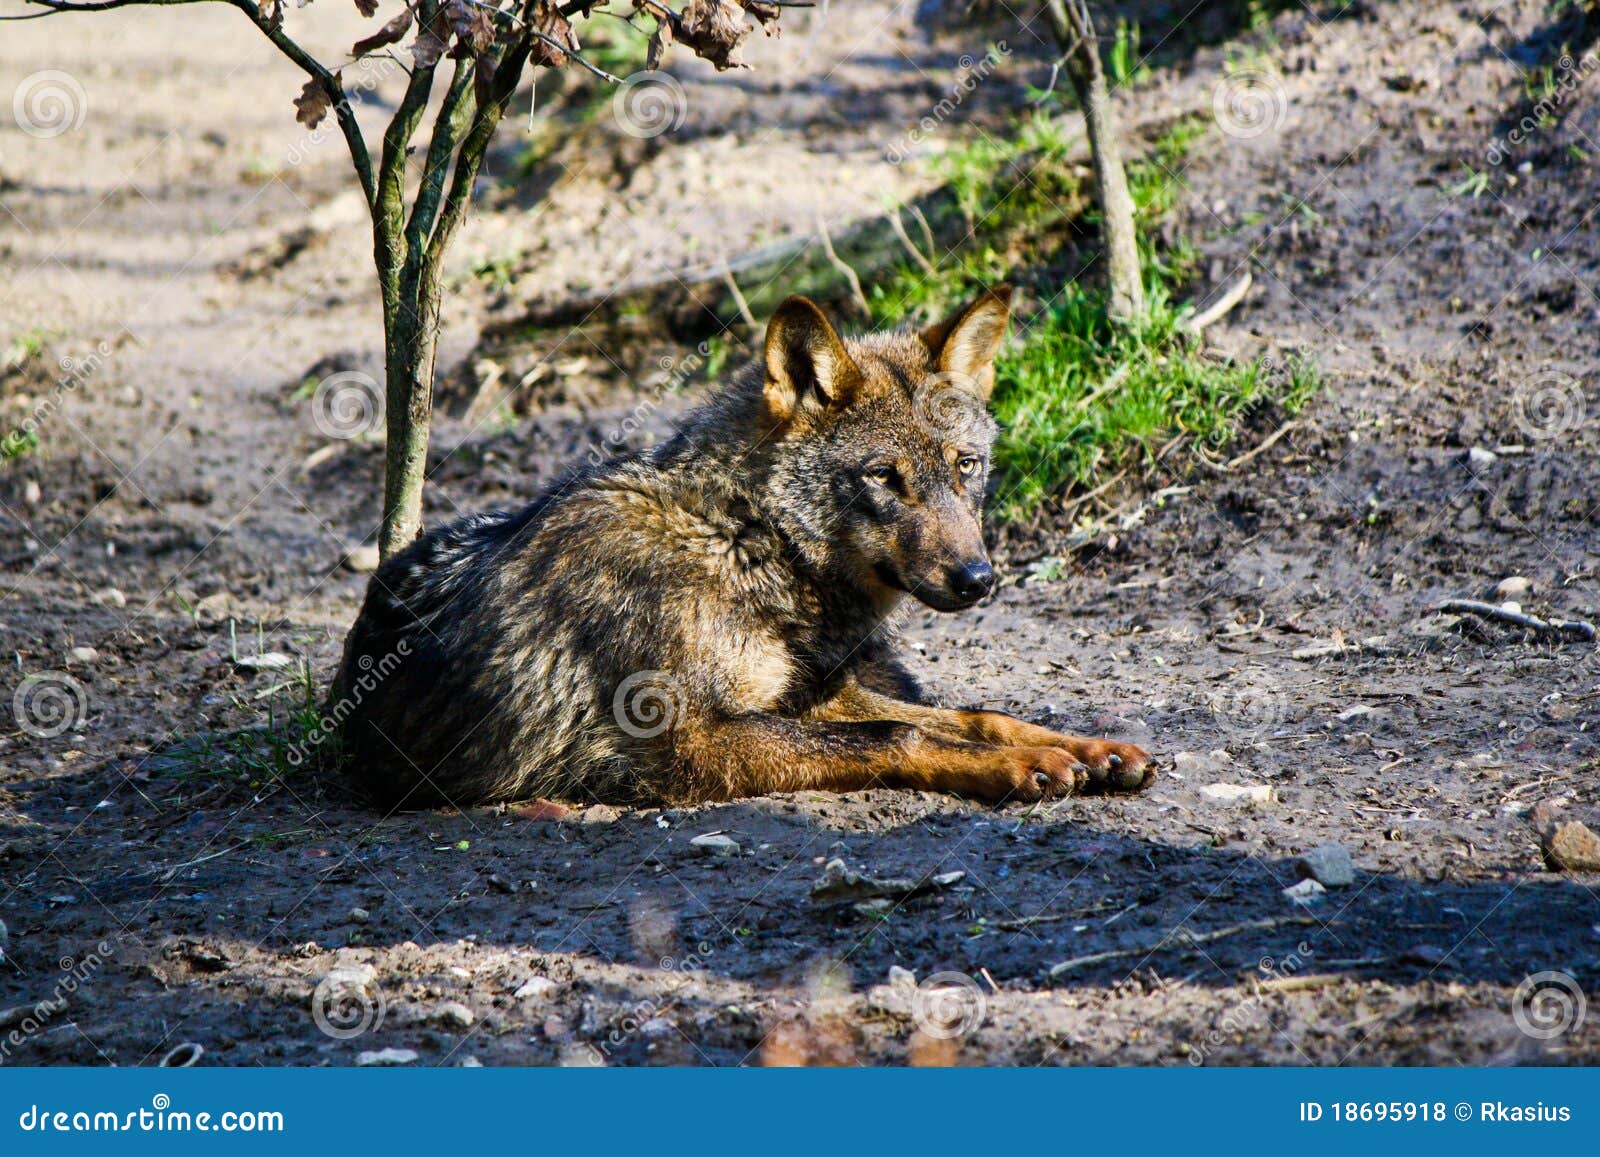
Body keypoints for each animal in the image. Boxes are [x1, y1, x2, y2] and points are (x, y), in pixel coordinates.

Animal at [333, 287, 1155, 809]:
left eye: (966, 467)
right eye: (884, 477)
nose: (978, 579)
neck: (743, 541)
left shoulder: (803, 696)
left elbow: (975, 715)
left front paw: (1084, 749)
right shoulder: (694, 746)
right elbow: (897, 733)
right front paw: (1025, 766)